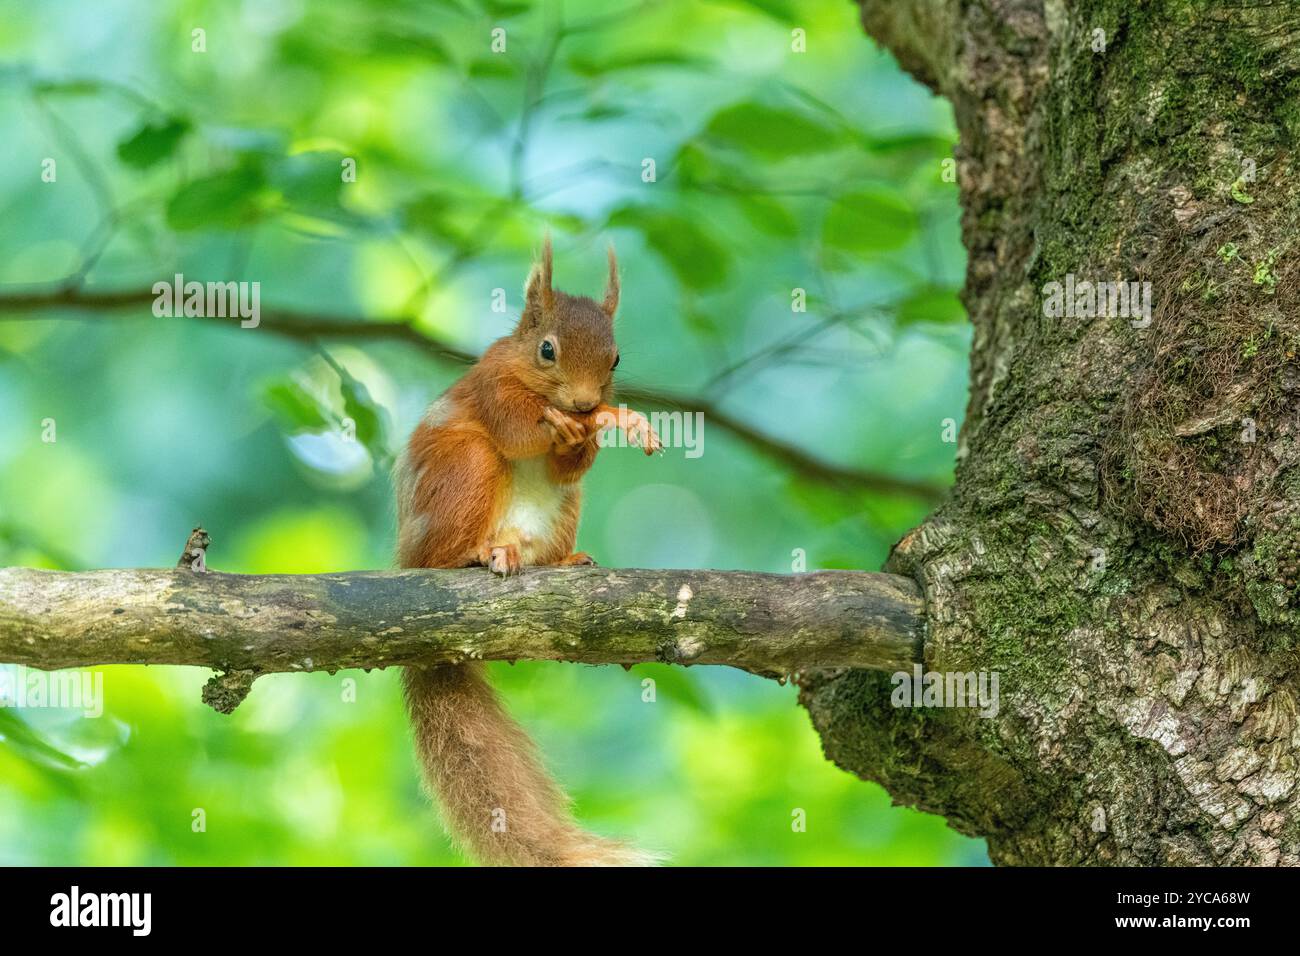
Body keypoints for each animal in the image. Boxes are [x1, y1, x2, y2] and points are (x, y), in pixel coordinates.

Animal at [394, 235, 662, 866]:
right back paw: (474, 554)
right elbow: (519, 431)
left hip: (562, 511)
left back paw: (555, 560)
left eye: (616, 358)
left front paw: (603, 425)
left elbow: (570, 462)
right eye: (547, 350)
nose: (587, 402)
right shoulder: (492, 386)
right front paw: (610, 418)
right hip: (465, 472)